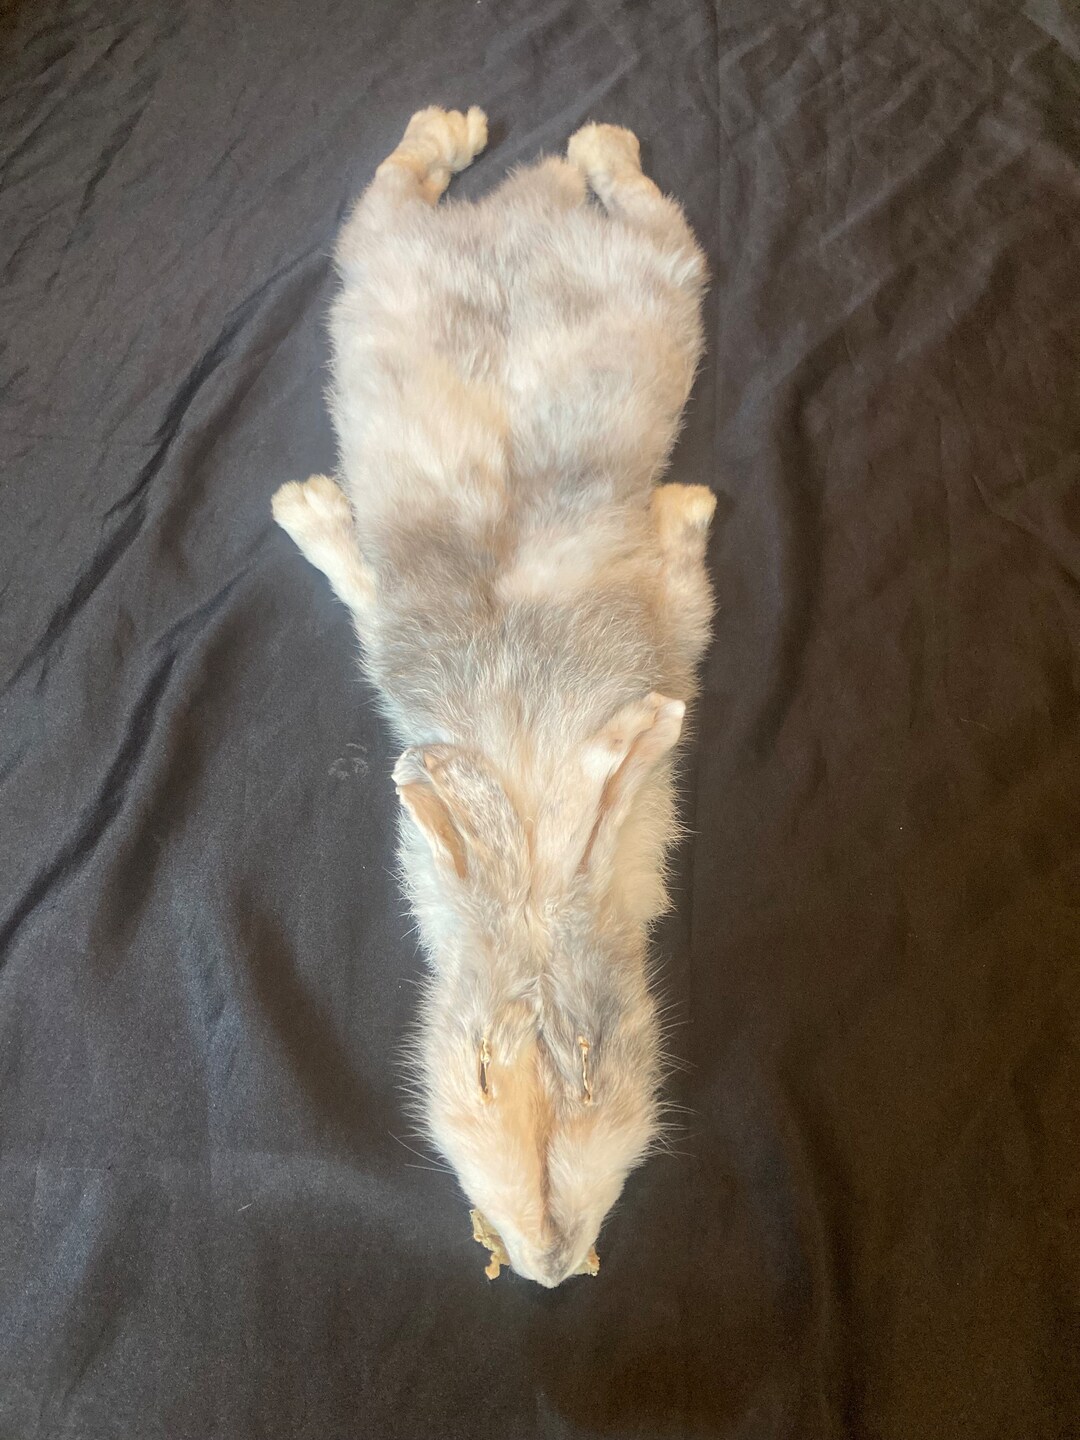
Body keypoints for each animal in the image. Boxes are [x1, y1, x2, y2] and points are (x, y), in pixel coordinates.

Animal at [272, 107, 715, 1287]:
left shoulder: (675, 640)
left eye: (590, 1065)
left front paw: (688, 507)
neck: (517, 773)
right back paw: (507, 136)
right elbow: (354, 571)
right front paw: (302, 507)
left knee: (634, 208)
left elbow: (686, 580)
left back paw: (580, 143)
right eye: (476, 1069)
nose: (551, 1267)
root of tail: (524, 206)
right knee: (405, 186)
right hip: (383, 258)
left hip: (654, 274)